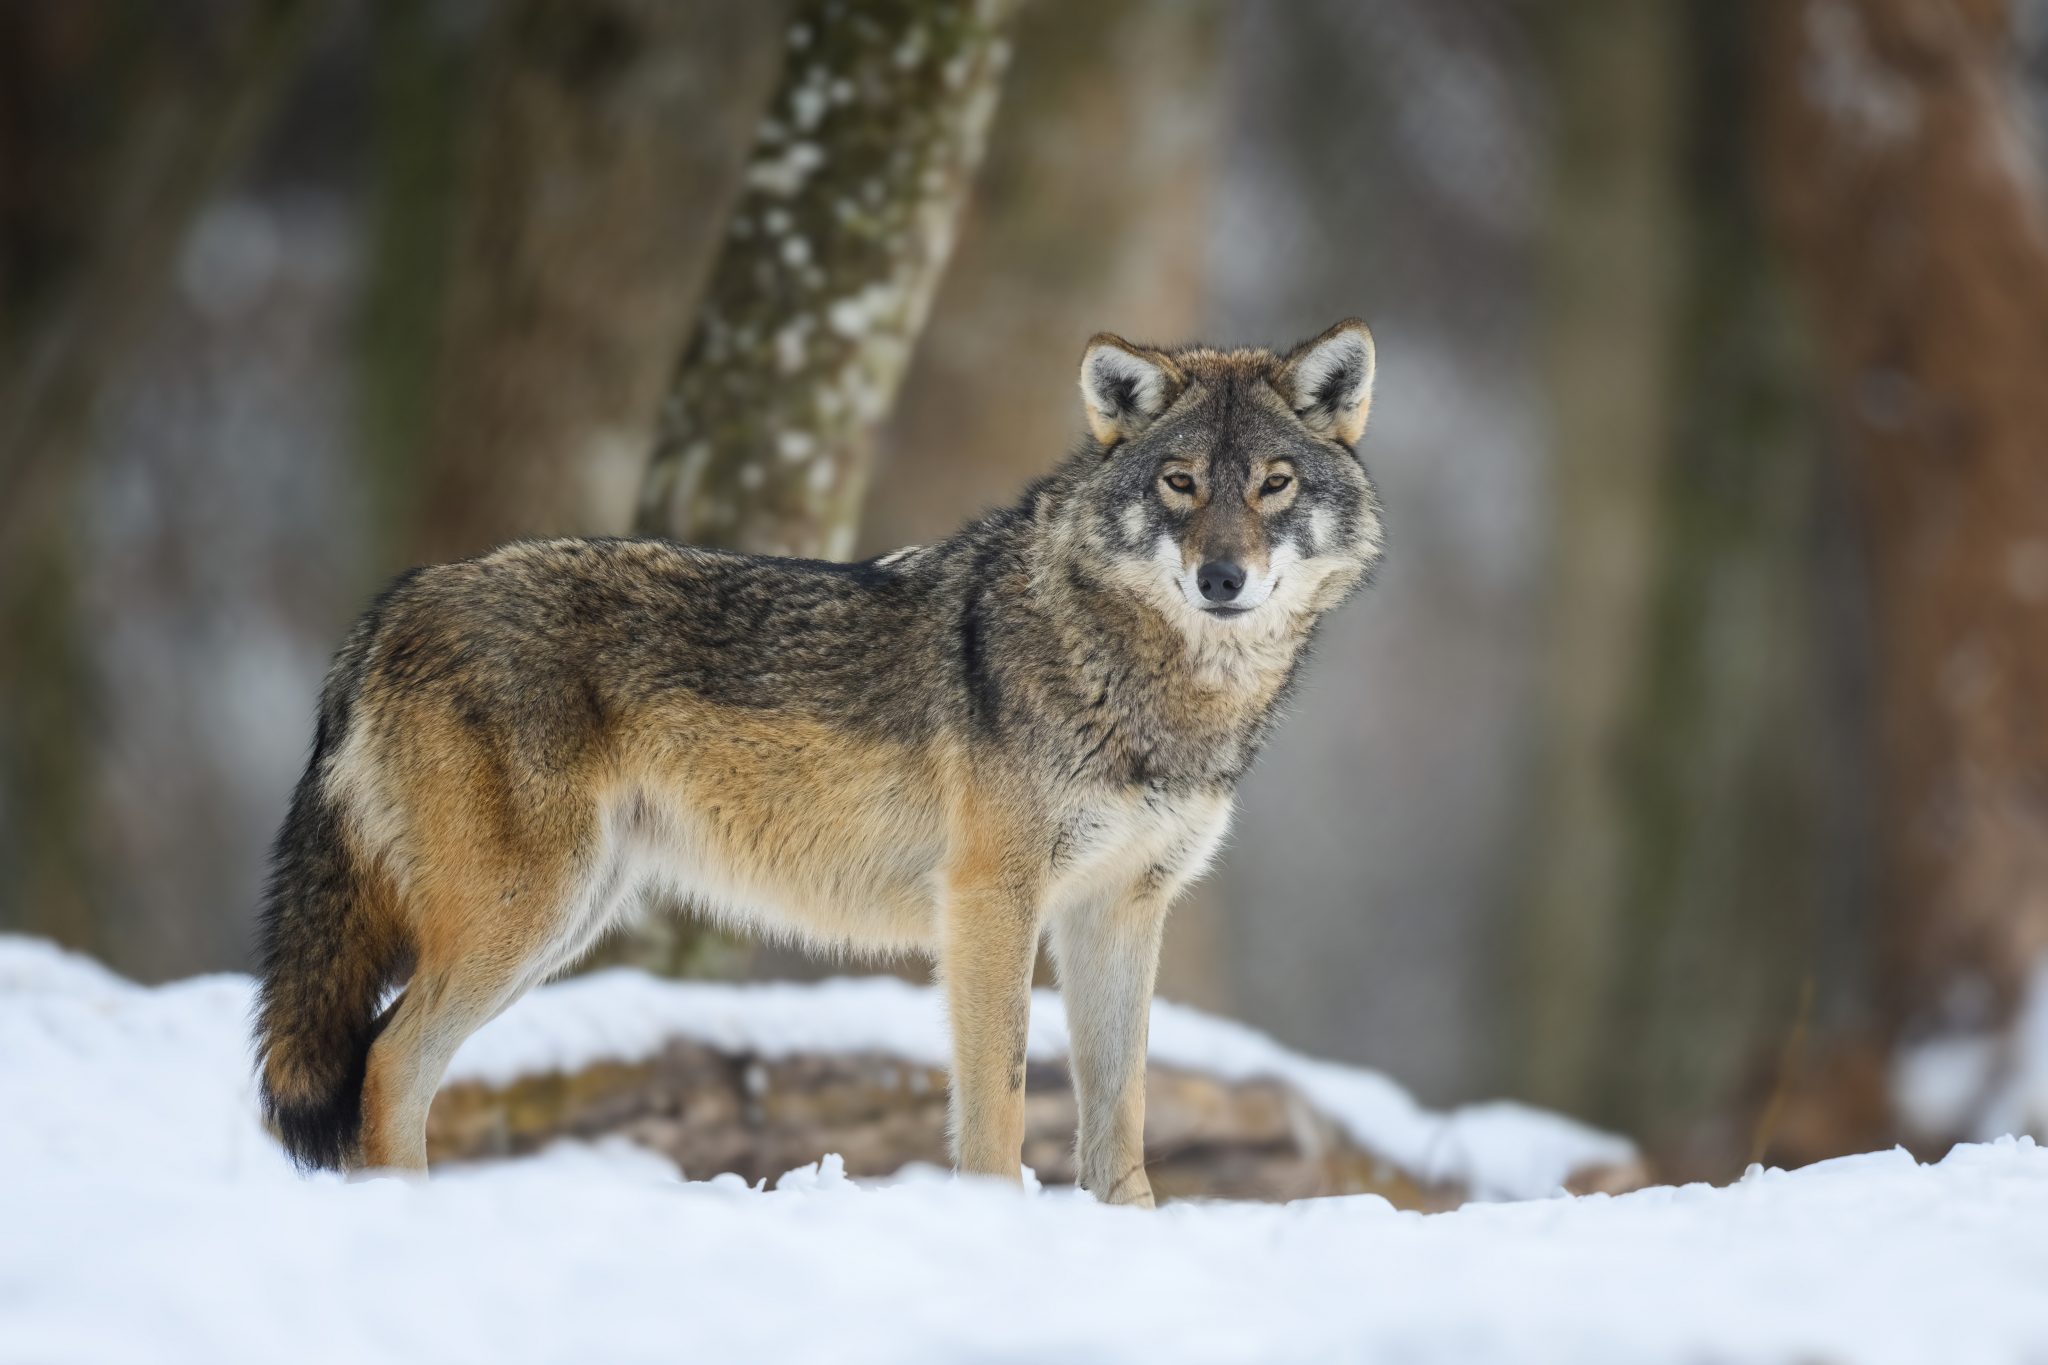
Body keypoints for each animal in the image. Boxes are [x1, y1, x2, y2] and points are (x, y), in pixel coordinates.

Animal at [253, 319, 1383, 1206]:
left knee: (392, 1064)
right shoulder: (992, 899)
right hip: (524, 913)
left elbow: (1122, 1115)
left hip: (562, 921)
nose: (1222, 576)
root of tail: (399, 597)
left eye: (1273, 485)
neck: (1152, 687)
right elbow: (1001, 1102)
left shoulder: (1122, 909)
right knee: (386, 1063)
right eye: (1180, 483)